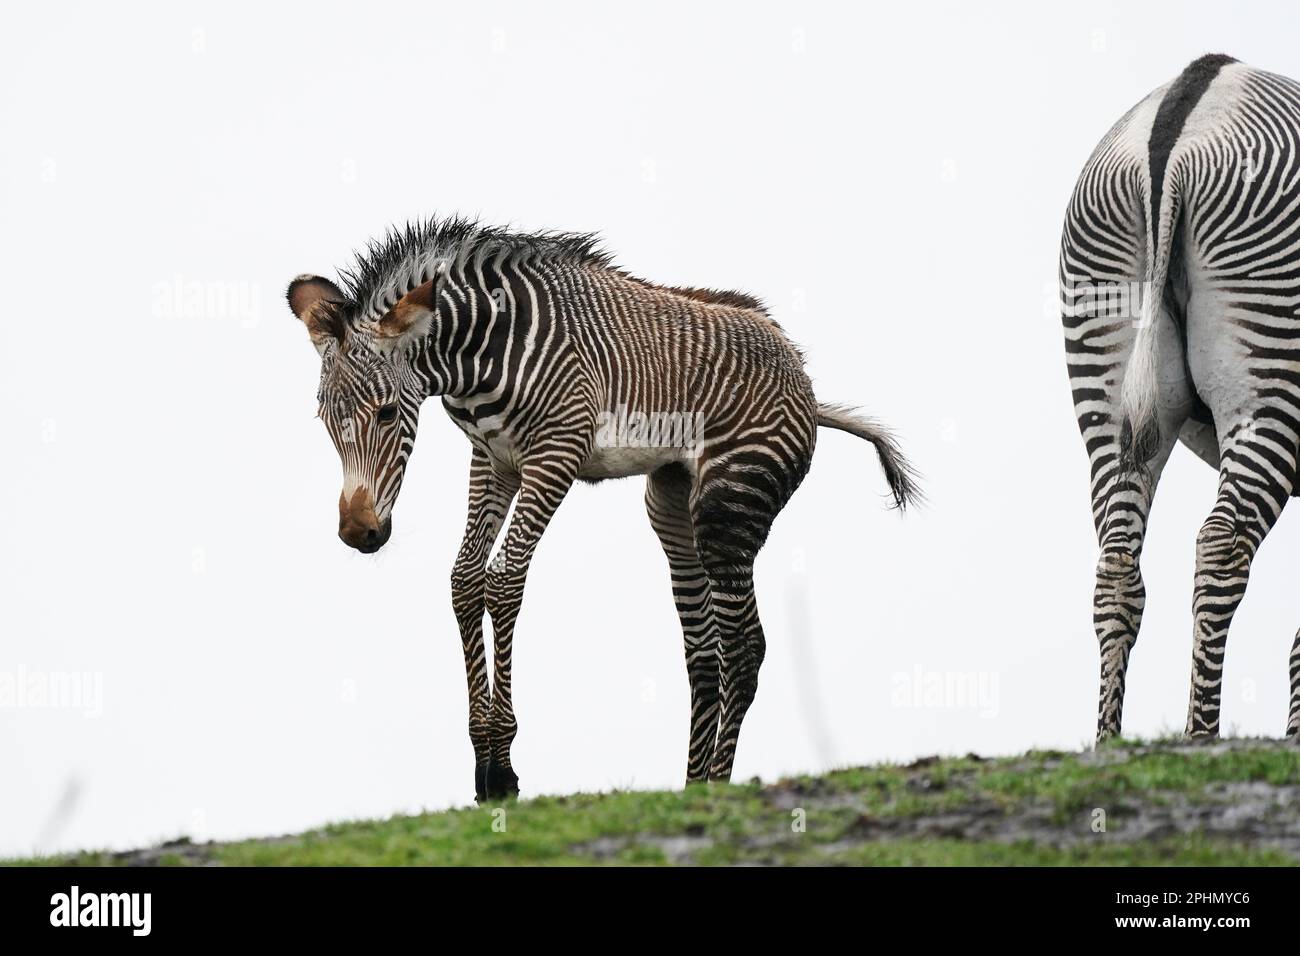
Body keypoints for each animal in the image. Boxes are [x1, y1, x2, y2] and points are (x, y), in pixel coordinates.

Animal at [286, 218, 920, 800]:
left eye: (388, 412)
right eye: (323, 420)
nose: (359, 532)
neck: (480, 351)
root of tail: (805, 379)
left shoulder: (555, 453)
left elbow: (504, 582)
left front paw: (502, 770)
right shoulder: (492, 459)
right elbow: (465, 580)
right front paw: (481, 764)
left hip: (730, 503)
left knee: (744, 647)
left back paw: (716, 790)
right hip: (673, 505)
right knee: (704, 651)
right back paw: (691, 787)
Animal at [1061, 53, 1300, 742]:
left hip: (1105, 385)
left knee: (1116, 567)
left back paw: (1108, 743)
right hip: (1271, 377)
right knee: (1222, 542)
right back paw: (1200, 737)